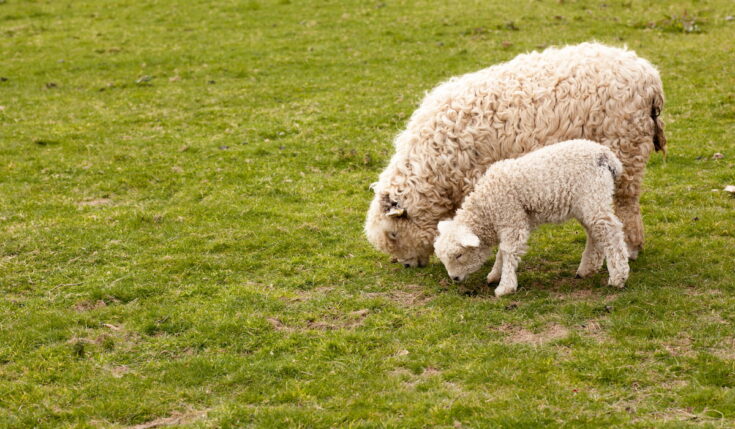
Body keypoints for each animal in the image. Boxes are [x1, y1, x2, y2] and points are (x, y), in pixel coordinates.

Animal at [365, 42, 665, 268]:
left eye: (393, 234)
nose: (406, 265)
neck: (434, 166)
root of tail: (649, 75)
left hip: (625, 149)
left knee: (627, 203)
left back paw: (632, 247)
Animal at [434, 139, 629, 297]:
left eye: (459, 255)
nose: (454, 278)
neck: (486, 207)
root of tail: (607, 156)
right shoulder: (511, 220)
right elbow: (502, 250)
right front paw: (495, 275)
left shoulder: (511, 217)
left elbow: (508, 250)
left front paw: (505, 287)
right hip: (586, 203)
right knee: (595, 233)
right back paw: (586, 269)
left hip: (593, 194)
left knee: (610, 231)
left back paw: (618, 277)